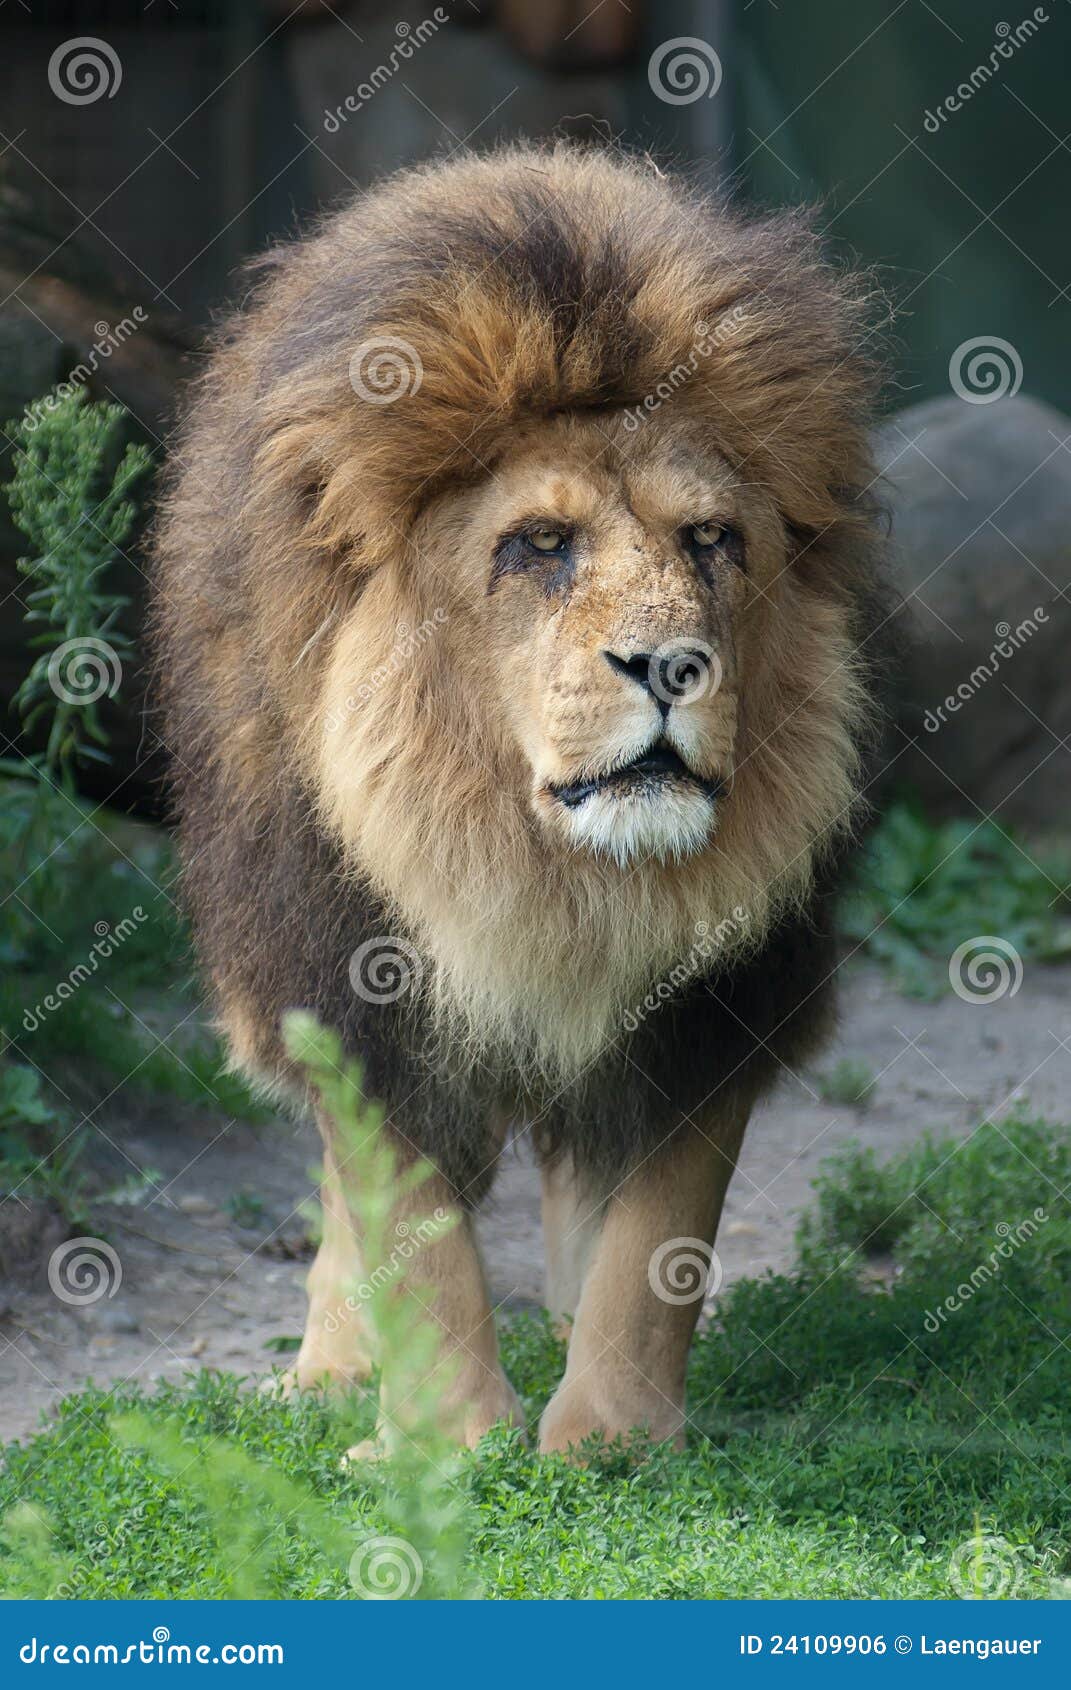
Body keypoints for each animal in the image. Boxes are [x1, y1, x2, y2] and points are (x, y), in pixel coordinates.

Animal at [152, 143, 886, 1454]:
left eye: (712, 539)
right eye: (540, 544)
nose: (672, 664)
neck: (550, 875)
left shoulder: (715, 1011)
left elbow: (658, 1240)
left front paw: (613, 1439)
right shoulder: (357, 986)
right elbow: (413, 1233)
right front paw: (447, 1442)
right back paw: (335, 1370)